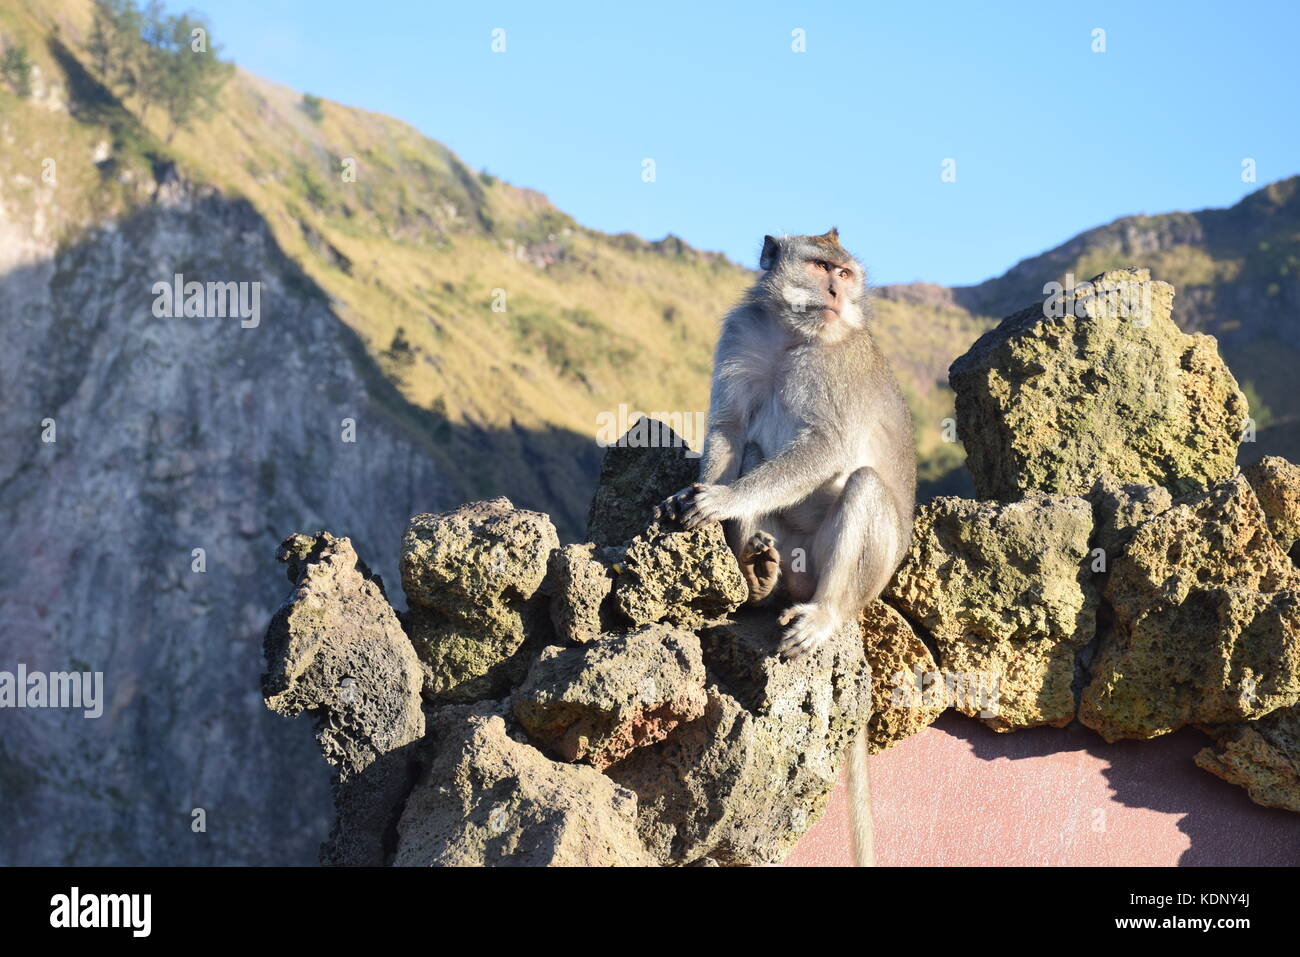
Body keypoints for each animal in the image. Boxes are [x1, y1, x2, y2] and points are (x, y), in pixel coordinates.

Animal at [656, 228, 916, 660]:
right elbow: (730, 425)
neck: (792, 336)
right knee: (752, 453)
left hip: (860, 576)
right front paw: (691, 496)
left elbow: (828, 445)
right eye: (820, 266)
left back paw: (824, 613)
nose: (835, 292)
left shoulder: (837, 364)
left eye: (844, 274)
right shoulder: (741, 331)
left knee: (865, 484)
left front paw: (723, 499)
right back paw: (760, 576)